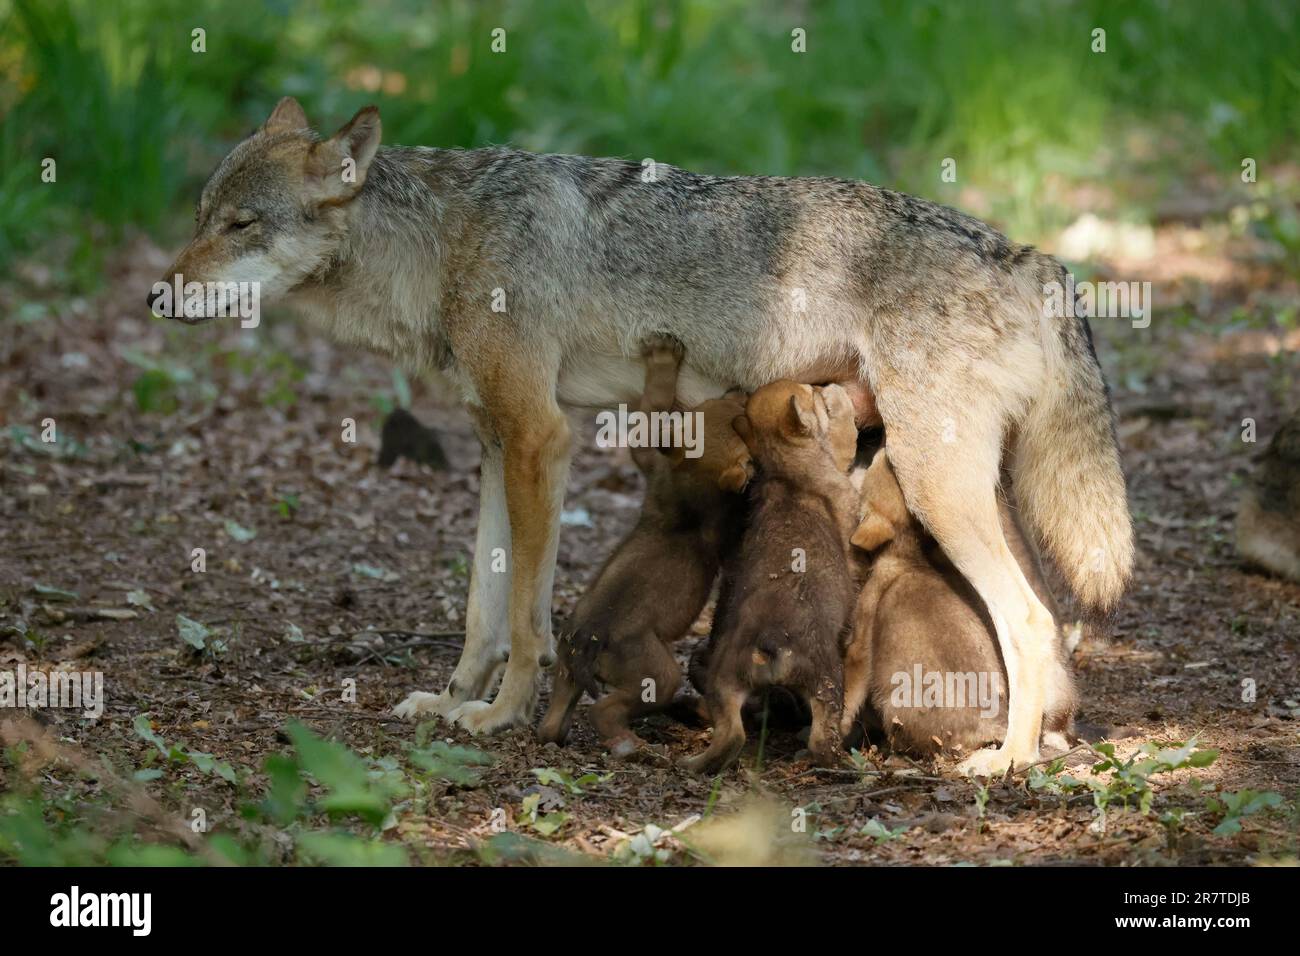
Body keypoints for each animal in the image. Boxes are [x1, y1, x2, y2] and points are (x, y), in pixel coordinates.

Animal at [152, 98, 1132, 774]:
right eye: (199, 217)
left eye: (242, 225)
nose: (160, 296)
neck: (441, 245)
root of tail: (1031, 256)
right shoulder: (495, 445)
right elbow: (480, 610)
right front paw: (451, 701)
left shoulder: (540, 439)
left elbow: (527, 619)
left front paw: (500, 717)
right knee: (1044, 625)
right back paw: (1039, 738)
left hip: (939, 486)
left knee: (1035, 619)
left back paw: (1008, 760)